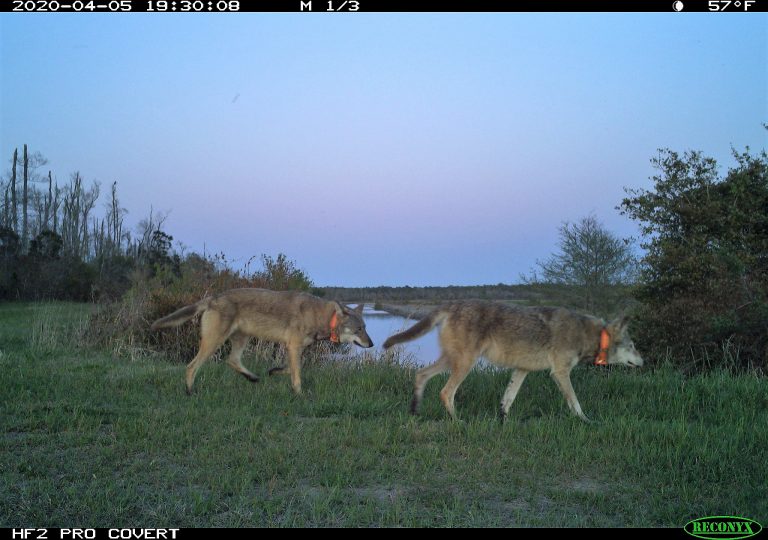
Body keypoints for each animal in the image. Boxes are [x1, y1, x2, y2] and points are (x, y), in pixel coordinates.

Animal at [150, 288, 374, 394]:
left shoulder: (293, 348)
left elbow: (290, 369)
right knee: (191, 366)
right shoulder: (294, 346)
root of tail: (213, 298)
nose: (371, 344)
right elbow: (297, 375)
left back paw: (252, 378)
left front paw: (273, 372)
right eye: (359, 329)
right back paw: (190, 392)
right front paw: (300, 394)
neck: (323, 317)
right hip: (213, 343)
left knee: (231, 360)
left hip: (241, 339)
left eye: (366, 328)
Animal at [383, 301, 643, 421]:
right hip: (464, 364)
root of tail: (451, 304)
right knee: (446, 392)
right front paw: (586, 421)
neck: (592, 334)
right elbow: (575, 403)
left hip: (451, 361)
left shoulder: (521, 370)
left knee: (421, 375)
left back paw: (414, 410)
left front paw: (503, 420)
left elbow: (508, 399)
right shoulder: (560, 373)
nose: (643, 361)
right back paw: (458, 421)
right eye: (632, 346)